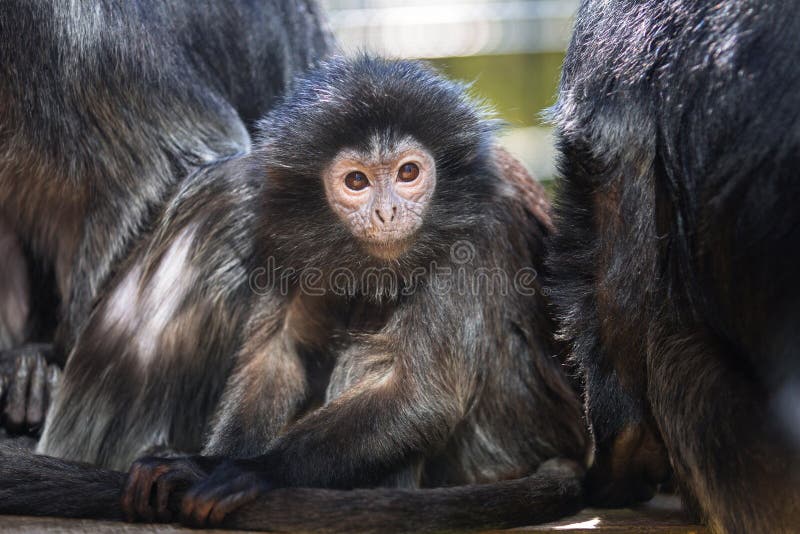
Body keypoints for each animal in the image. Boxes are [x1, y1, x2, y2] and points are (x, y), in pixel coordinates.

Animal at [0, 56, 589, 532]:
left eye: (408, 172)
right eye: (356, 182)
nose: (388, 212)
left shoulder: (478, 228)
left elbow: (422, 394)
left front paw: (243, 470)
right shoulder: (276, 221)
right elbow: (277, 353)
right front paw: (207, 464)